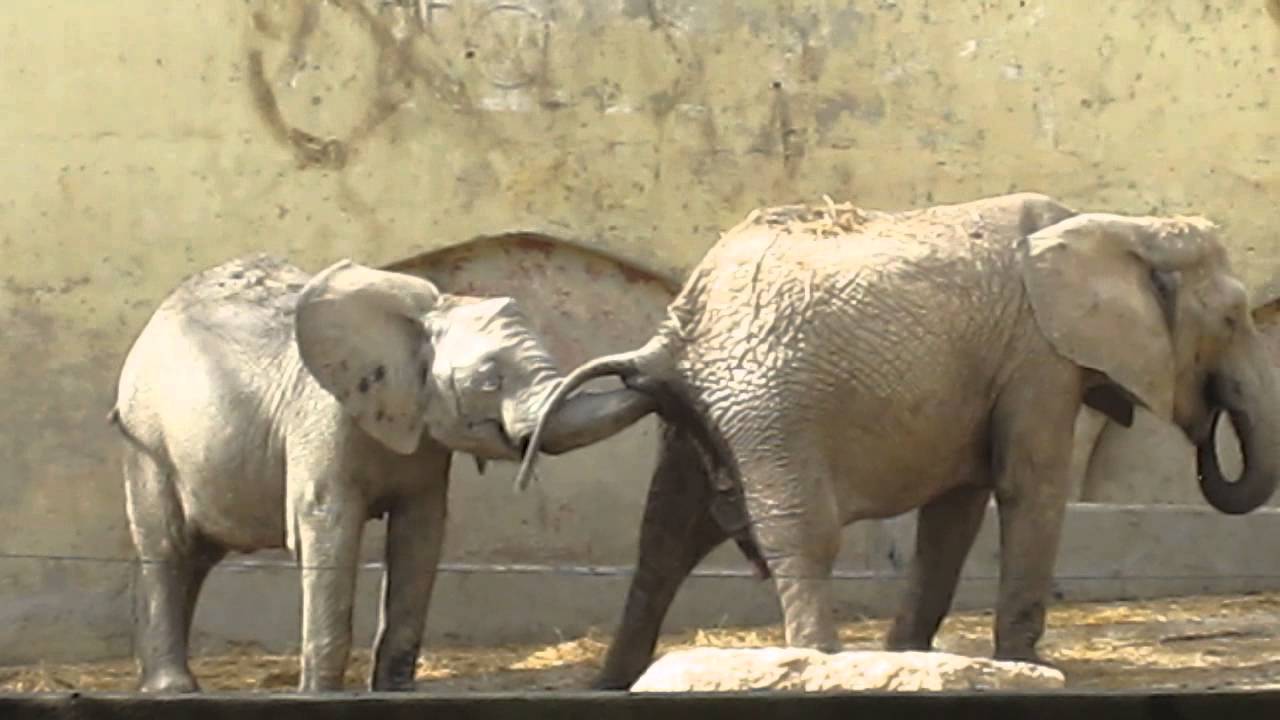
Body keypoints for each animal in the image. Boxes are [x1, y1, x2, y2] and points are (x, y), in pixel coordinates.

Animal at [108, 254, 653, 693]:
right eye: (488, 380)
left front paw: (394, 691)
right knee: (168, 547)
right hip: (147, 436)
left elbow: (421, 533)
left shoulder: (425, 437)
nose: (642, 371)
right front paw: (320, 695)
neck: (425, 316)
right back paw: (173, 690)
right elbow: (327, 526)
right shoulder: (324, 417)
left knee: (196, 557)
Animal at [513, 191, 1280, 688]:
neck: (1121, 223)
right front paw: (1030, 667)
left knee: (666, 537)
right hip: (770, 405)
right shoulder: (1037, 356)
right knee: (800, 534)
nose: (1206, 432)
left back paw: (610, 685)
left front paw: (914, 656)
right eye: (1233, 319)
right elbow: (1026, 487)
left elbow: (958, 508)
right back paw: (818, 666)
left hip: (704, 411)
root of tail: (671, 336)